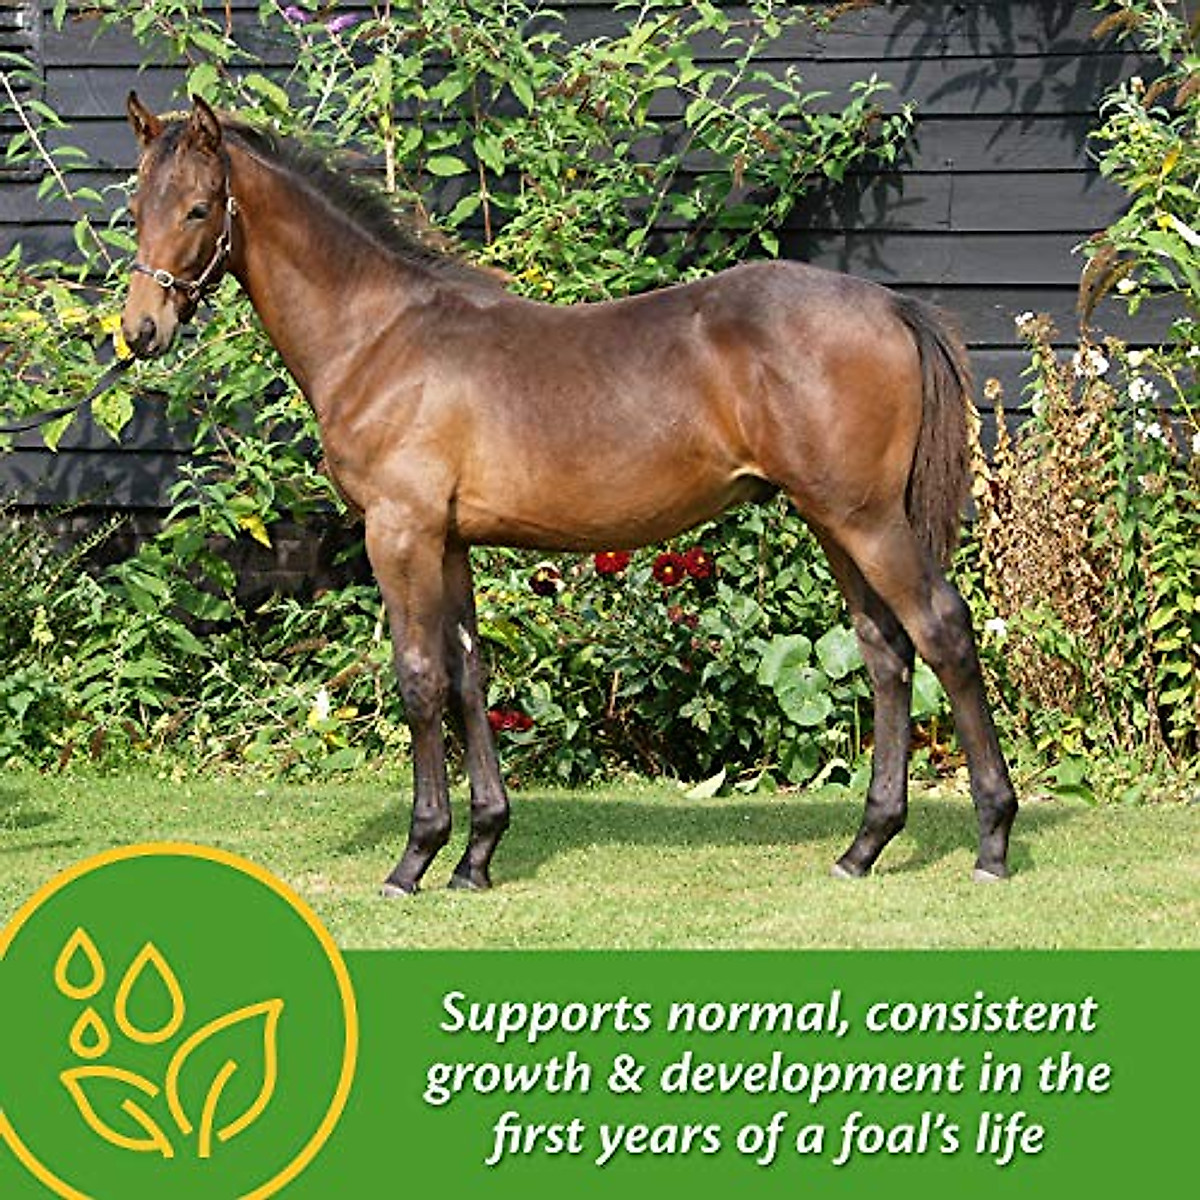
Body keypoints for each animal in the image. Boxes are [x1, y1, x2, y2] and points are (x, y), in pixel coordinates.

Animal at [120, 94, 1017, 894]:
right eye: (134, 208)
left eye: (198, 208)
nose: (140, 331)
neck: (381, 337)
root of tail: (891, 306)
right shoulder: (450, 540)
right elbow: (467, 676)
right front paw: (477, 856)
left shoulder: (401, 533)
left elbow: (419, 678)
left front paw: (415, 859)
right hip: (836, 520)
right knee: (884, 650)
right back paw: (864, 847)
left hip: (866, 520)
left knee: (941, 631)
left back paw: (993, 840)